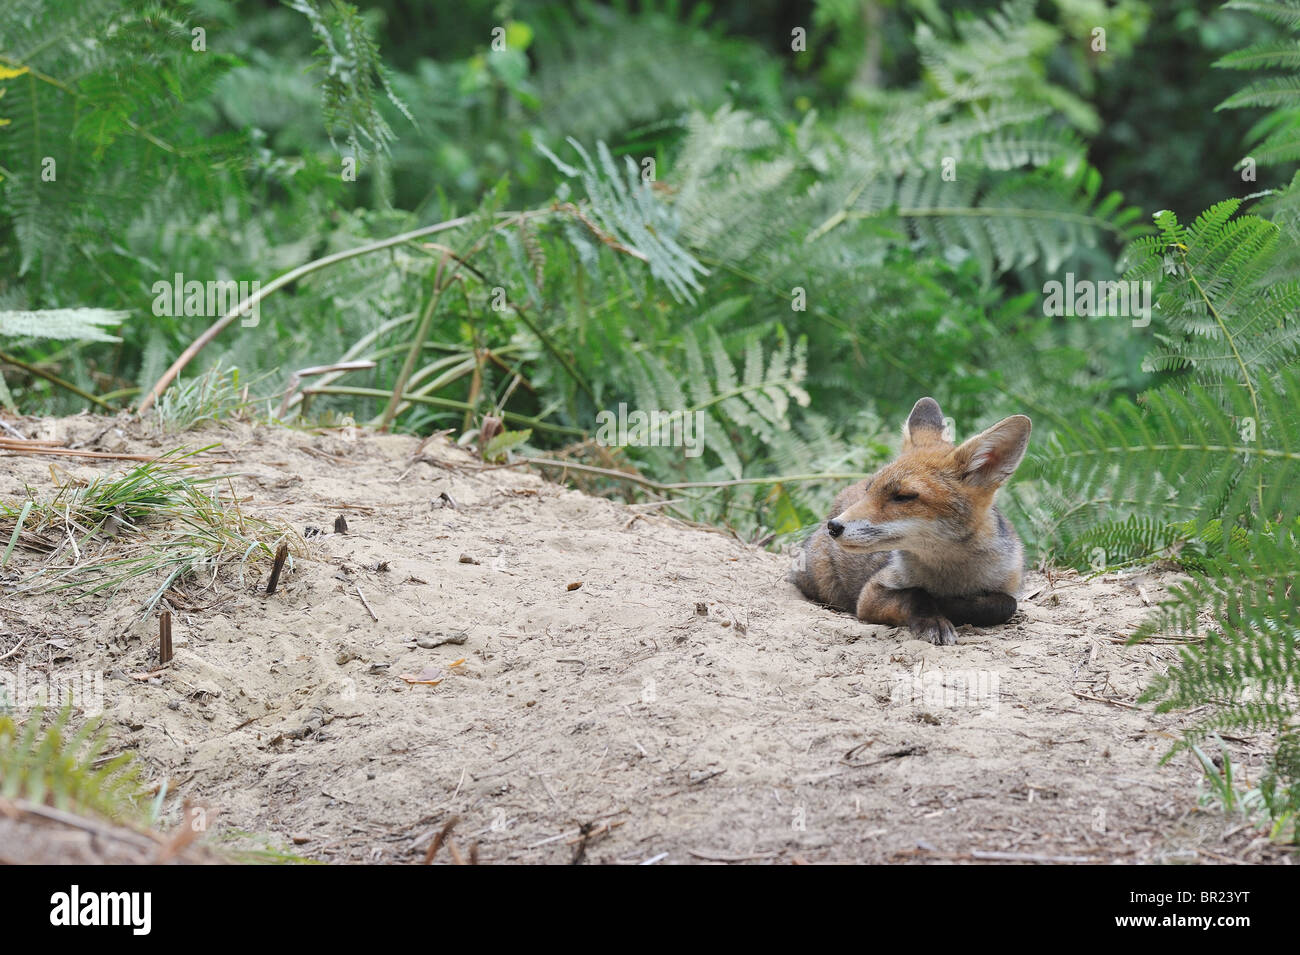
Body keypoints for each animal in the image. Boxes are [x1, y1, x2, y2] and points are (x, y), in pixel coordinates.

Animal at [790, 397, 1031, 646]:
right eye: (869, 490)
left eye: (903, 496)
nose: (835, 526)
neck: (952, 576)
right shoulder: (870, 594)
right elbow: (915, 594)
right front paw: (933, 616)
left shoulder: (1009, 584)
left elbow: (1004, 605)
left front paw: (949, 604)